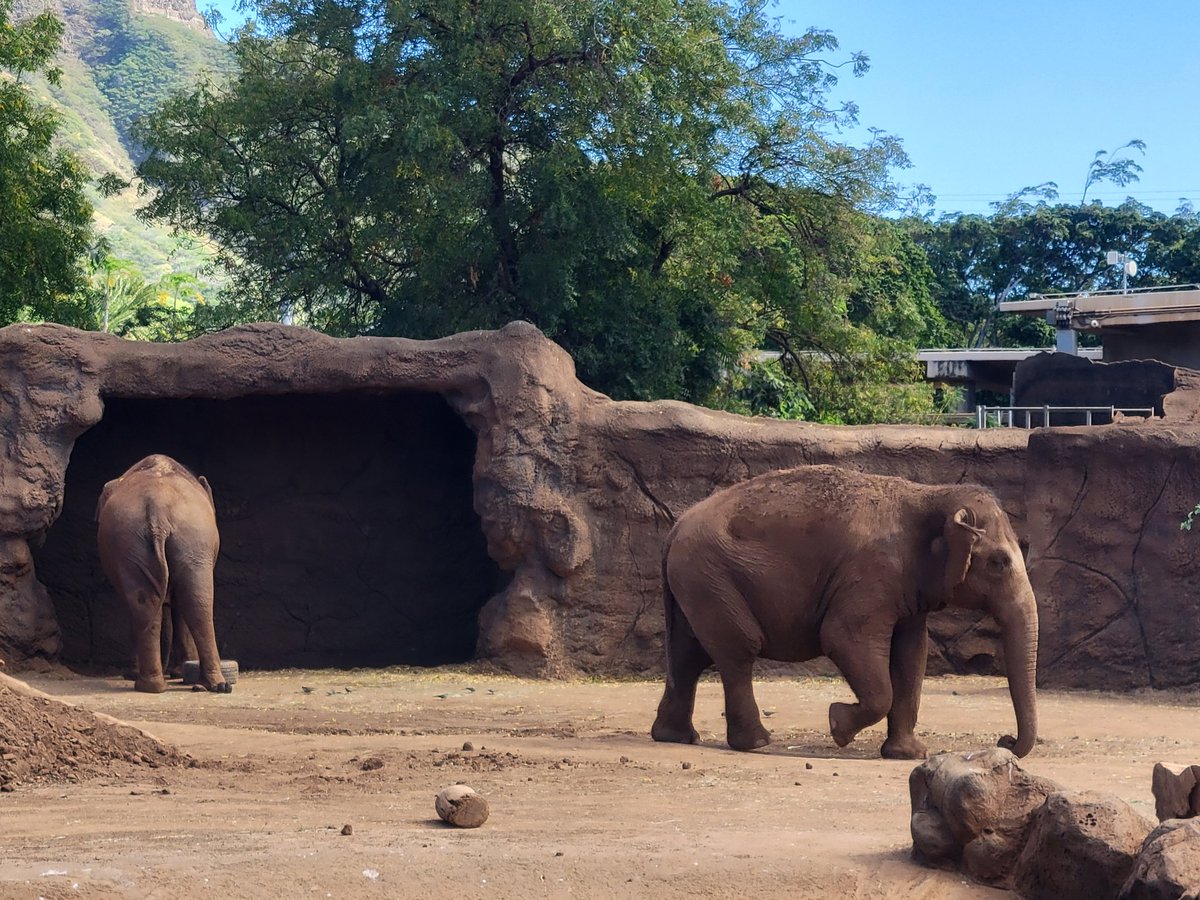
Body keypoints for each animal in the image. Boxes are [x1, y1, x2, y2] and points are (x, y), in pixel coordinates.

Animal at [650, 465, 1038, 759]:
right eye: (999, 563)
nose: (1005, 740)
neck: (930, 494)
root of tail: (674, 529)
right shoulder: (870, 574)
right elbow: (843, 637)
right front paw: (838, 726)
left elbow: (912, 654)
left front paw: (907, 754)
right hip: (711, 575)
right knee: (738, 648)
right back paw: (757, 742)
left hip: (696, 581)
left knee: (687, 654)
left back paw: (676, 737)